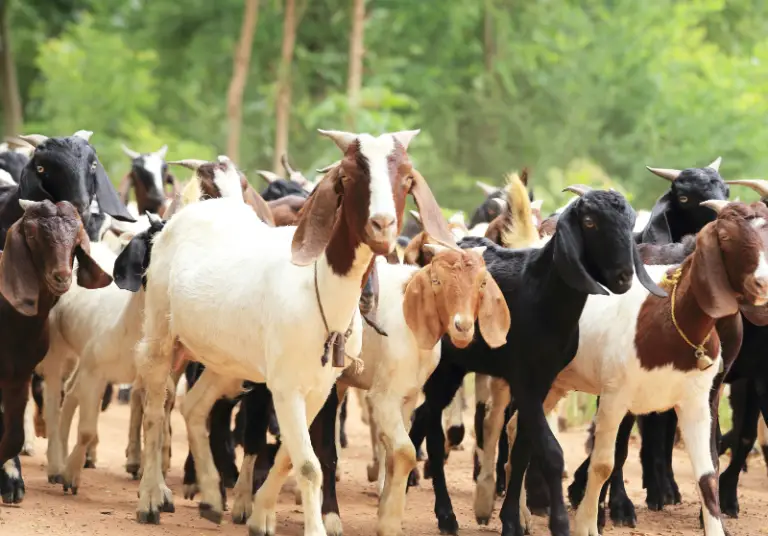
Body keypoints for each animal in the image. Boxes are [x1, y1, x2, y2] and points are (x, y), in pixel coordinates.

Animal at [0, 200, 112, 504]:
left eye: (76, 238)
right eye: (32, 235)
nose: (61, 276)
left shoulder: (19, 374)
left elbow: (13, 435)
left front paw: (11, 481)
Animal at [134, 129, 455, 534]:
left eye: (407, 178)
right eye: (348, 175)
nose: (382, 225)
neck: (318, 288)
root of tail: (189, 214)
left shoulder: (319, 388)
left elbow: (289, 455)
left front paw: (259, 514)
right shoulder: (286, 387)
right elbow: (308, 463)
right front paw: (312, 525)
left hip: (226, 361)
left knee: (193, 407)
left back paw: (210, 495)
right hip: (160, 333)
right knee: (155, 410)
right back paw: (150, 498)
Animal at [408, 187, 665, 535]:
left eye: (629, 221)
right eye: (589, 221)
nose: (624, 277)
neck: (542, 295)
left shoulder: (544, 379)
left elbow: (523, 449)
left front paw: (511, 521)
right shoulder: (524, 379)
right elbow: (551, 452)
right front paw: (559, 523)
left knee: (424, 416)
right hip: (444, 367)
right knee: (433, 431)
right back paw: (446, 515)